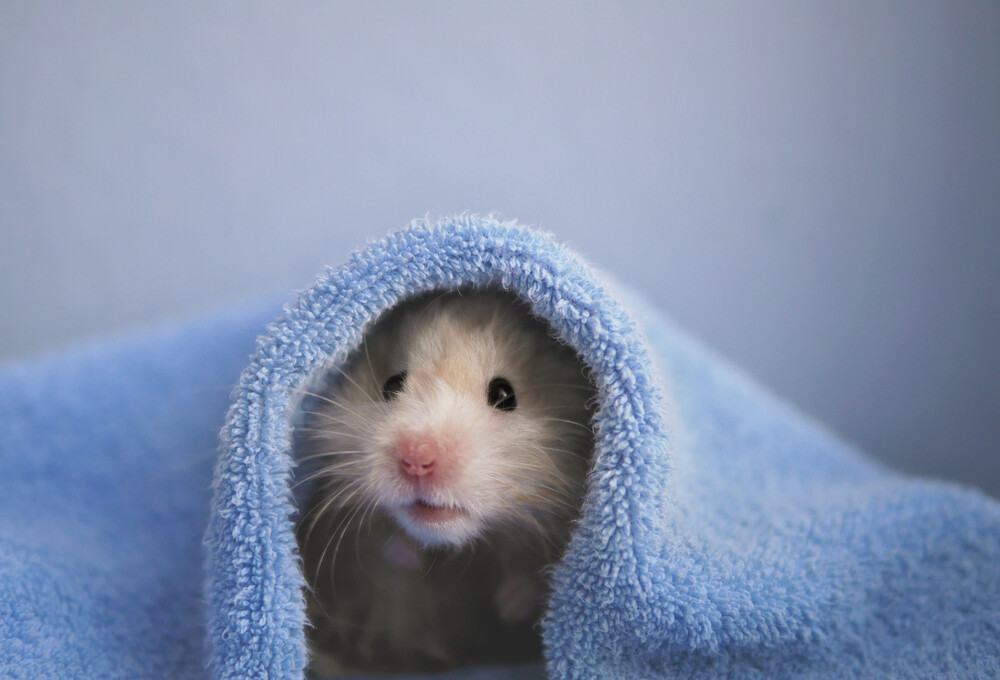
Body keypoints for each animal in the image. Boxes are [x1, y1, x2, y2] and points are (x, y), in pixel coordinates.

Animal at [294, 287, 596, 676]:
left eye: (504, 395)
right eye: (391, 385)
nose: (417, 459)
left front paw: (510, 600)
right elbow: (376, 553)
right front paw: (404, 552)